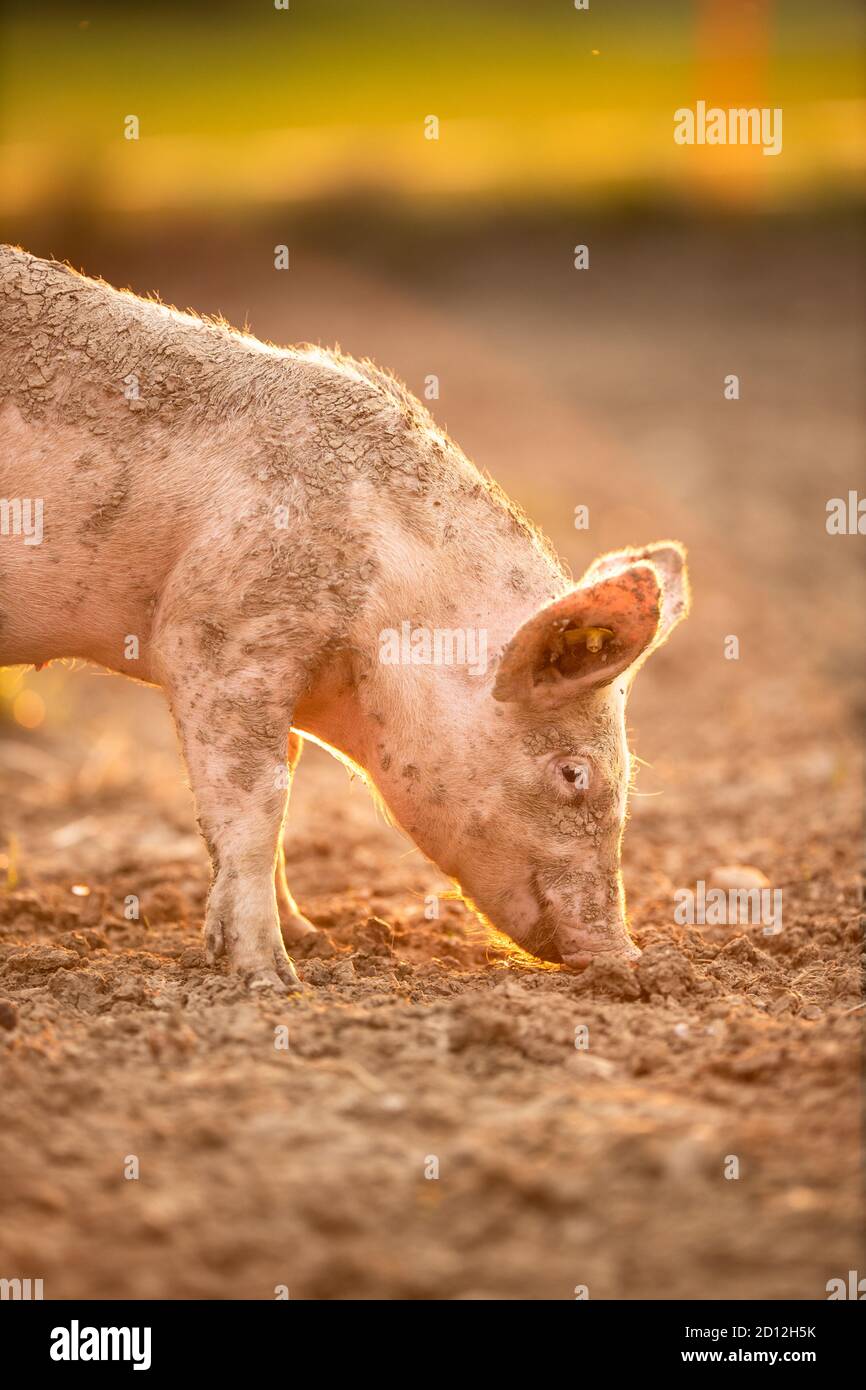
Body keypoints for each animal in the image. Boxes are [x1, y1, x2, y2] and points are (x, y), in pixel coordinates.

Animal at [0, 245, 689, 991]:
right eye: (573, 774)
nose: (628, 959)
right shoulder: (221, 634)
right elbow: (258, 804)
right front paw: (274, 979)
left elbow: (283, 787)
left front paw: (314, 941)